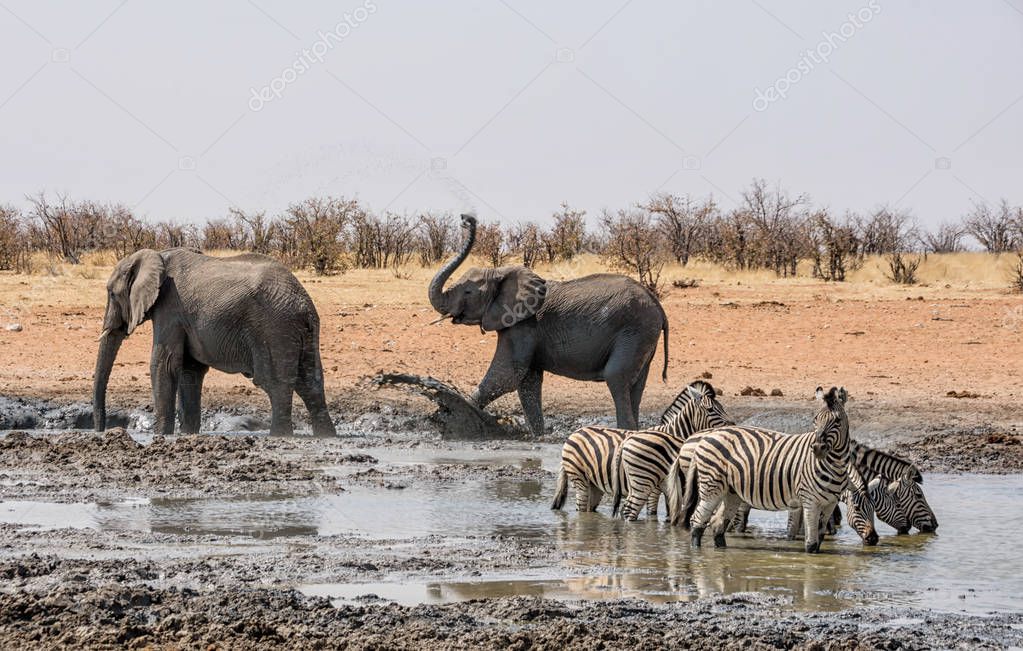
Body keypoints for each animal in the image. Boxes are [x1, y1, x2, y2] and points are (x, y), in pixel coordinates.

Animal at [93, 248, 336, 437]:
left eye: (111, 294)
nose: (102, 430)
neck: (157, 255)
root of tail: (303, 304)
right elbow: (190, 370)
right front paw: (188, 434)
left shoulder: (170, 308)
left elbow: (165, 364)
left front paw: (161, 435)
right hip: (304, 332)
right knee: (310, 382)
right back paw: (326, 436)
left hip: (274, 328)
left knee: (275, 383)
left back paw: (279, 435)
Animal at [428, 215, 669, 436]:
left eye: (468, 292)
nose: (467, 219)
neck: (501, 272)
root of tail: (657, 305)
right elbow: (528, 381)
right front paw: (538, 436)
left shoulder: (523, 325)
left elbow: (506, 375)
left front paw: (453, 415)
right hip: (644, 334)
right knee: (635, 385)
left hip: (635, 329)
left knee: (616, 376)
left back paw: (624, 432)